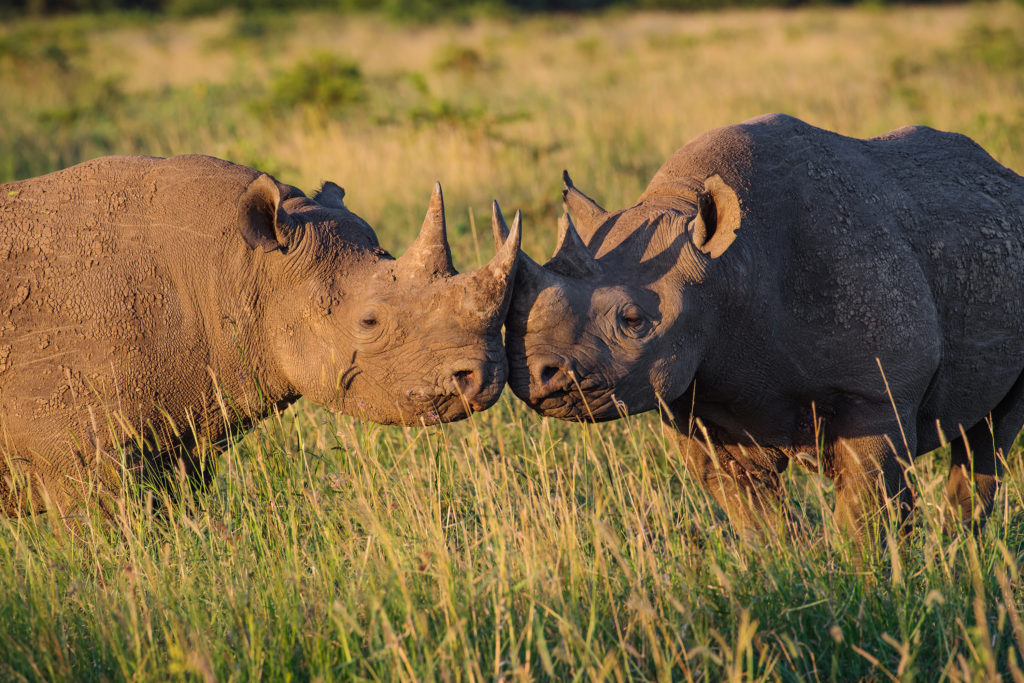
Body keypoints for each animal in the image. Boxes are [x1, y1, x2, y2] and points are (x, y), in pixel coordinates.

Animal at [504, 113, 1024, 537]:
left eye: (633, 321)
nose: (536, 376)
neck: (728, 269)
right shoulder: (700, 404)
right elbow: (757, 515)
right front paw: (799, 570)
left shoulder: (878, 393)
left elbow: (865, 509)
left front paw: (868, 578)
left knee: (990, 440)